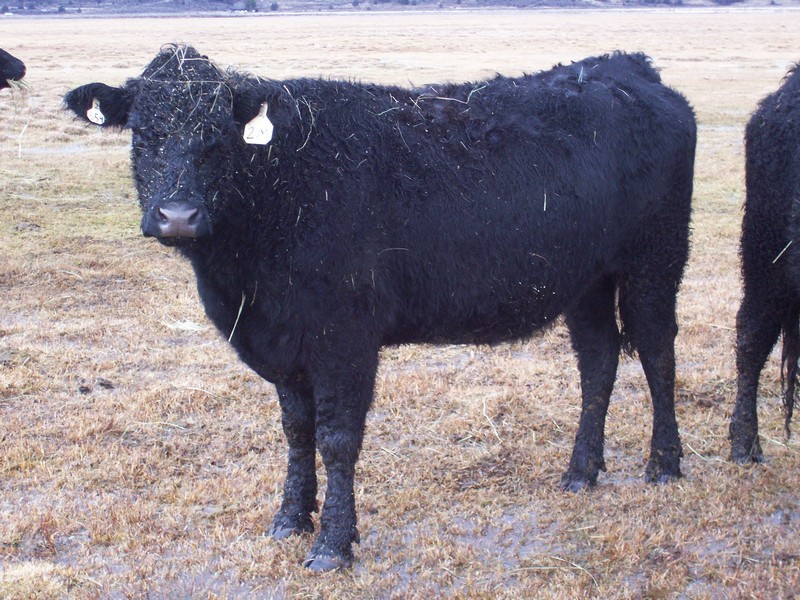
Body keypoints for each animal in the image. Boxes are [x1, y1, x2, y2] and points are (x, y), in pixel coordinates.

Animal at [64, 45, 696, 571]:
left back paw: (665, 464)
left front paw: (333, 545)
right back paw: (581, 471)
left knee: (658, 353)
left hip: (655, 260)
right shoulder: (286, 342)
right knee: (599, 360)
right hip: (587, 280)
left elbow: (338, 439)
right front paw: (290, 519)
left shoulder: (344, 339)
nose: (178, 216)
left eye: (217, 136)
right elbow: (297, 431)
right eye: (141, 134)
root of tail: (625, 67)